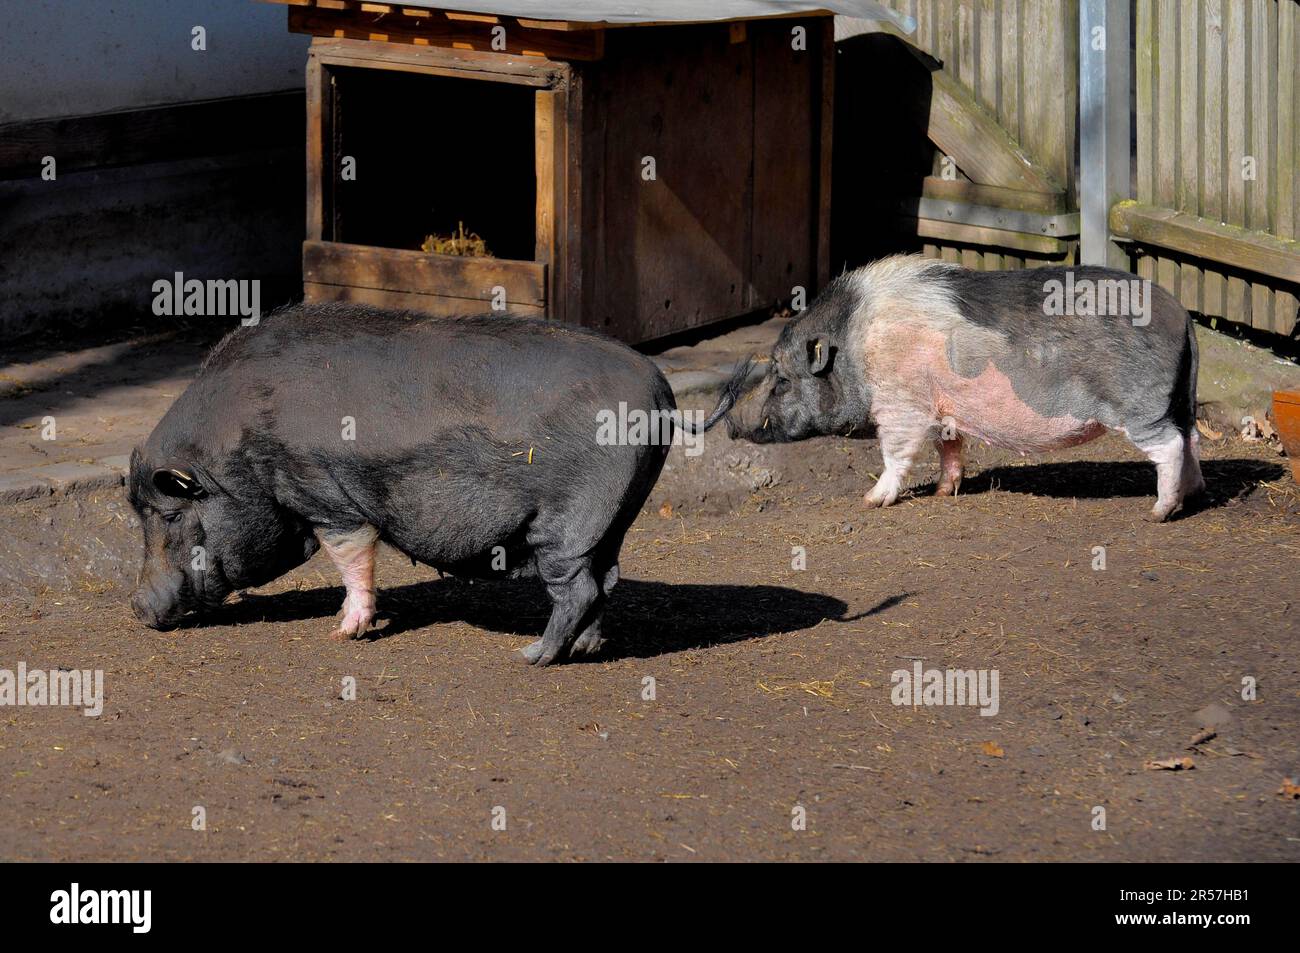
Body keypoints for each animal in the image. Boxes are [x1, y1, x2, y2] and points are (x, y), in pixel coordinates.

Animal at [128, 304, 676, 665]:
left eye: (169, 513)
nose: (136, 607)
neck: (237, 455)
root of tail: (660, 391)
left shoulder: (325, 492)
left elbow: (351, 556)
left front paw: (342, 634)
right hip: (614, 517)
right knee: (607, 577)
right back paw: (585, 647)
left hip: (569, 521)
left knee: (578, 586)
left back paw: (533, 655)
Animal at [701, 255, 1205, 521]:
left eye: (783, 379)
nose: (731, 424)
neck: (857, 345)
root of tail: (1181, 315)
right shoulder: (943, 407)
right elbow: (950, 446)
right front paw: (945, 492)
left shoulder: (901, 405)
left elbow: (897, 454)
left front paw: (870, 501)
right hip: (1179, 399)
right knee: (1192, 439)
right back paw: (1194, 495)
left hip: (1138, 405)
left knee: (1169, 446)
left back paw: (1158, 512)